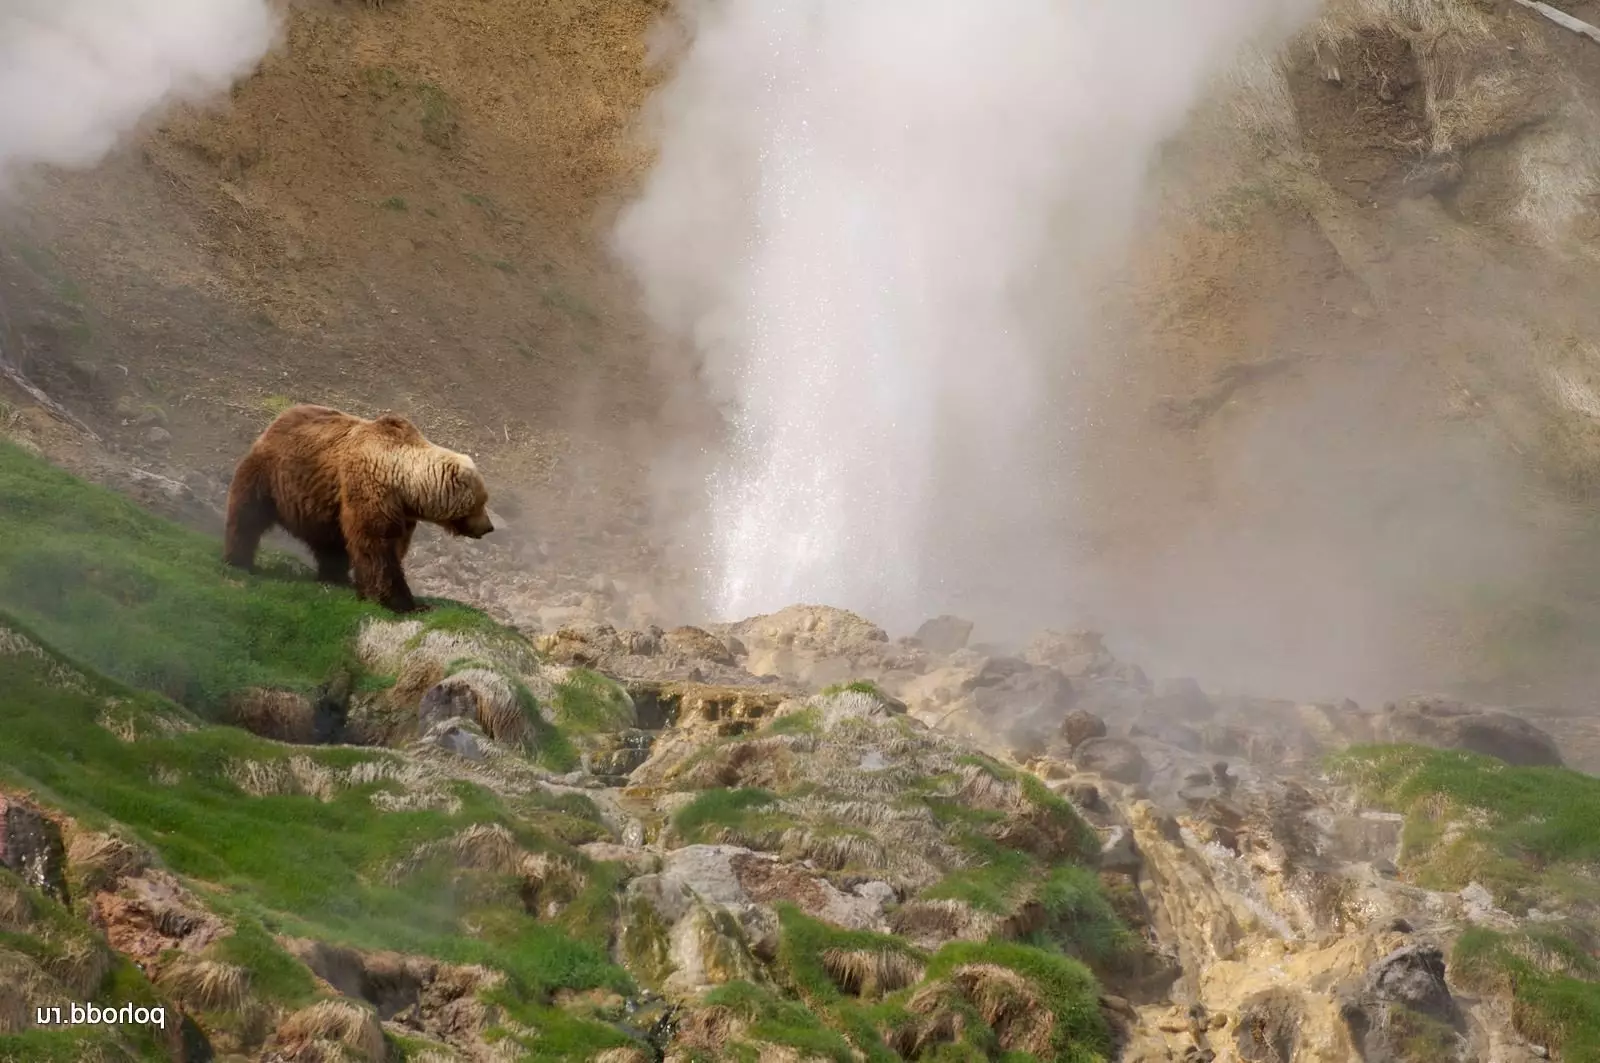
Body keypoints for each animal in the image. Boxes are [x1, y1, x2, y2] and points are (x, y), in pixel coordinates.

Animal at [222, 400, 489, 614]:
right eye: (482, 501)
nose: (489, 527)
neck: (404, 484)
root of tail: (280, 417)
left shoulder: (401, 512)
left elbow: (390, 547)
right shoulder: (370, 490)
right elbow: (376, 547)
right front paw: (403, 602)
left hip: (321, 503)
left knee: (329, 544)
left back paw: (335, 577)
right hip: (271, 476)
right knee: (247, 516)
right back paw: (238, 560)